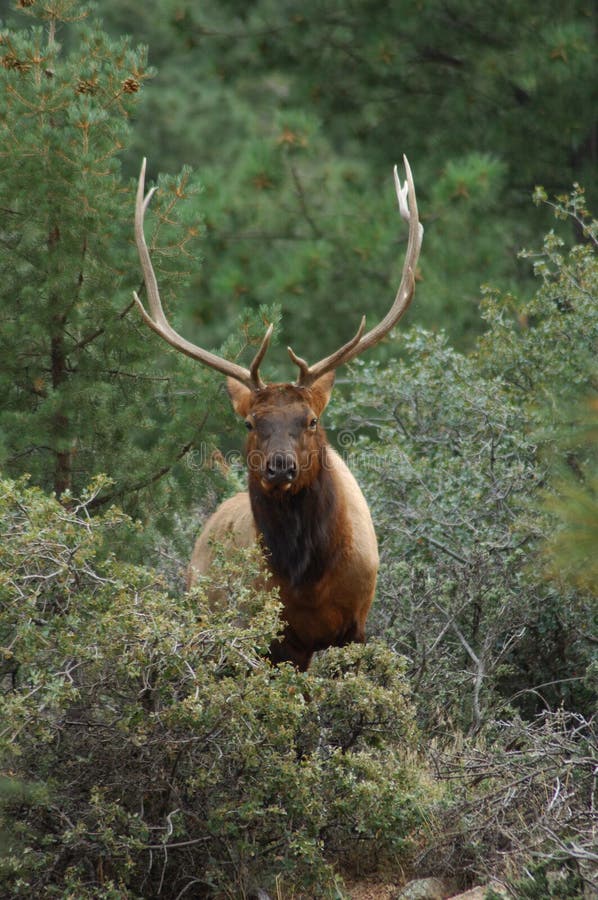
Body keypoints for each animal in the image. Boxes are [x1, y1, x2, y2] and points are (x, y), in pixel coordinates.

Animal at [133, 156, 423, 670]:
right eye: (251, 422)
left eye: (311, 420)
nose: (280, 466)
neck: (307, 581)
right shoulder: (269, 635)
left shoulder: (356, 625)